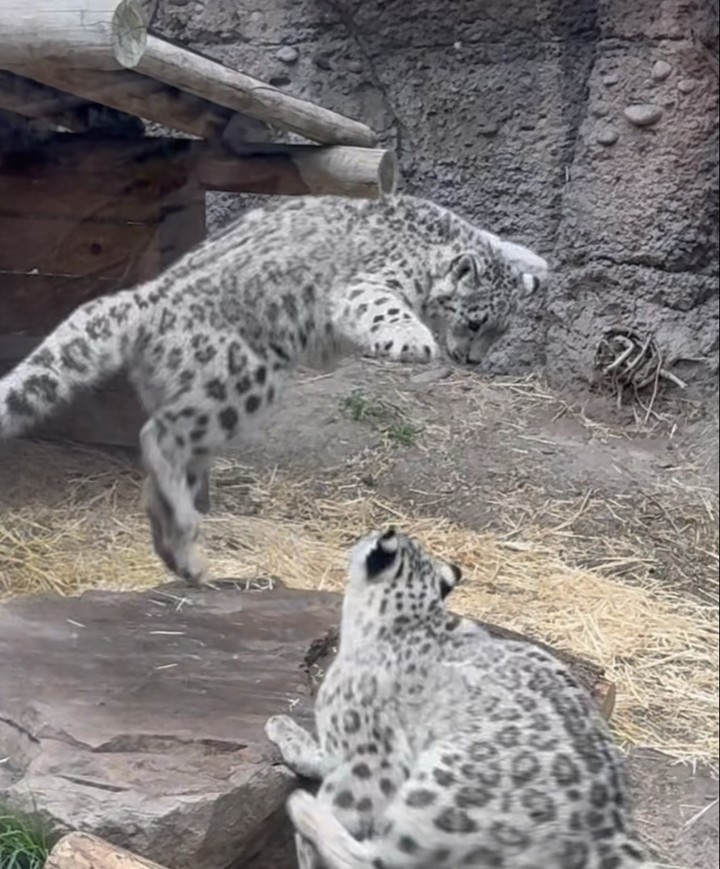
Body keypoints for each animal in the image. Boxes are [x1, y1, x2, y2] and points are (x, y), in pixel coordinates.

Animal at [0, 194, 548, 587]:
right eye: (475, 321)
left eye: (501, 330)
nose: (472, 360)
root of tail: (144, 299)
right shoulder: (370, 284)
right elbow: (382, 307)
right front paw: (414, 342)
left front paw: (534, 263)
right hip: (243, 378)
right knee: (159, 436)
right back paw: (184, 543)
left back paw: (179, 545)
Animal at [265, 527, 648, 869]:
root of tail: (606, 827)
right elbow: (319, 755)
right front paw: (283, 729)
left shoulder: (370, 757)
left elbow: (345, 796)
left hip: (440, 790)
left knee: (377, 858)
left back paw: (304, 810)